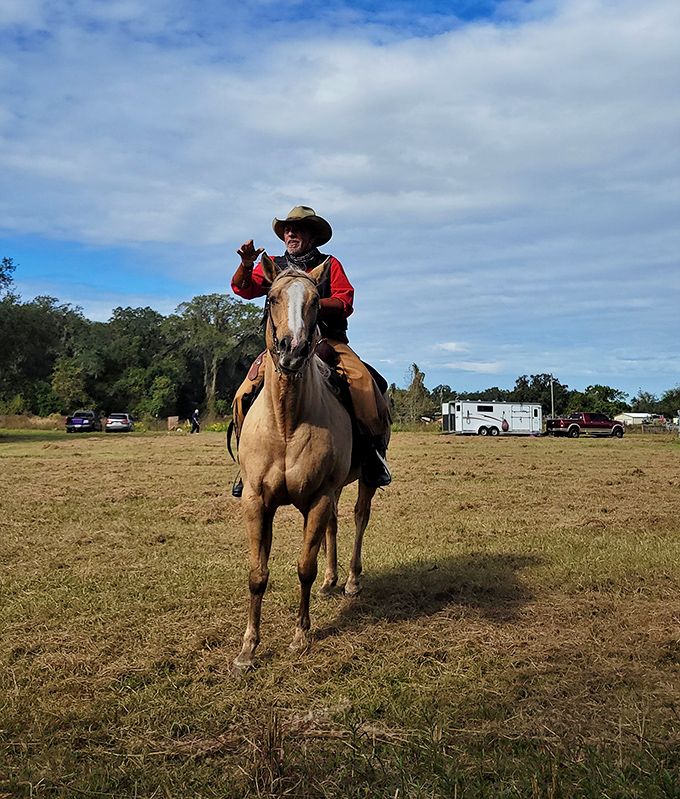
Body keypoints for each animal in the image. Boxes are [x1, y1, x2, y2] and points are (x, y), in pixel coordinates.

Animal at [233, 253, 379, 673]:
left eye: (316, 302)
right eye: (272, 298)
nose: (292, 350)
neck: (286, 421)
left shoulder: (317, 498)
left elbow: (304, 568)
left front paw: (300, 636)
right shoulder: (256, 501)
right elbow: (258, 573)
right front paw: (248, 648)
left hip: (363, 482)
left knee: (359, 518)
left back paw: (350, 581)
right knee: (335, 524)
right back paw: (332, 581)